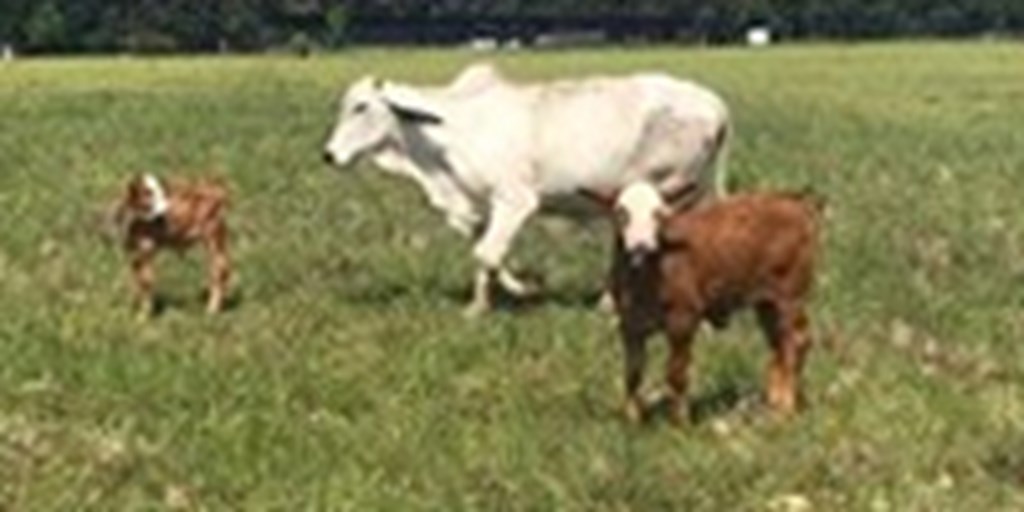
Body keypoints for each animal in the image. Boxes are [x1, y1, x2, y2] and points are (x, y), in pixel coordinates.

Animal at [322, 63, 730, 316]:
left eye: (361, 107)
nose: (329, 155)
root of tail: (715, 104)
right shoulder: (482, 208)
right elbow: (485, 253)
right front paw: (485, 302)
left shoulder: (515, 201)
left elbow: (487, 254)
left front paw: (519, 292)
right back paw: (609, 301)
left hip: (672, 191)